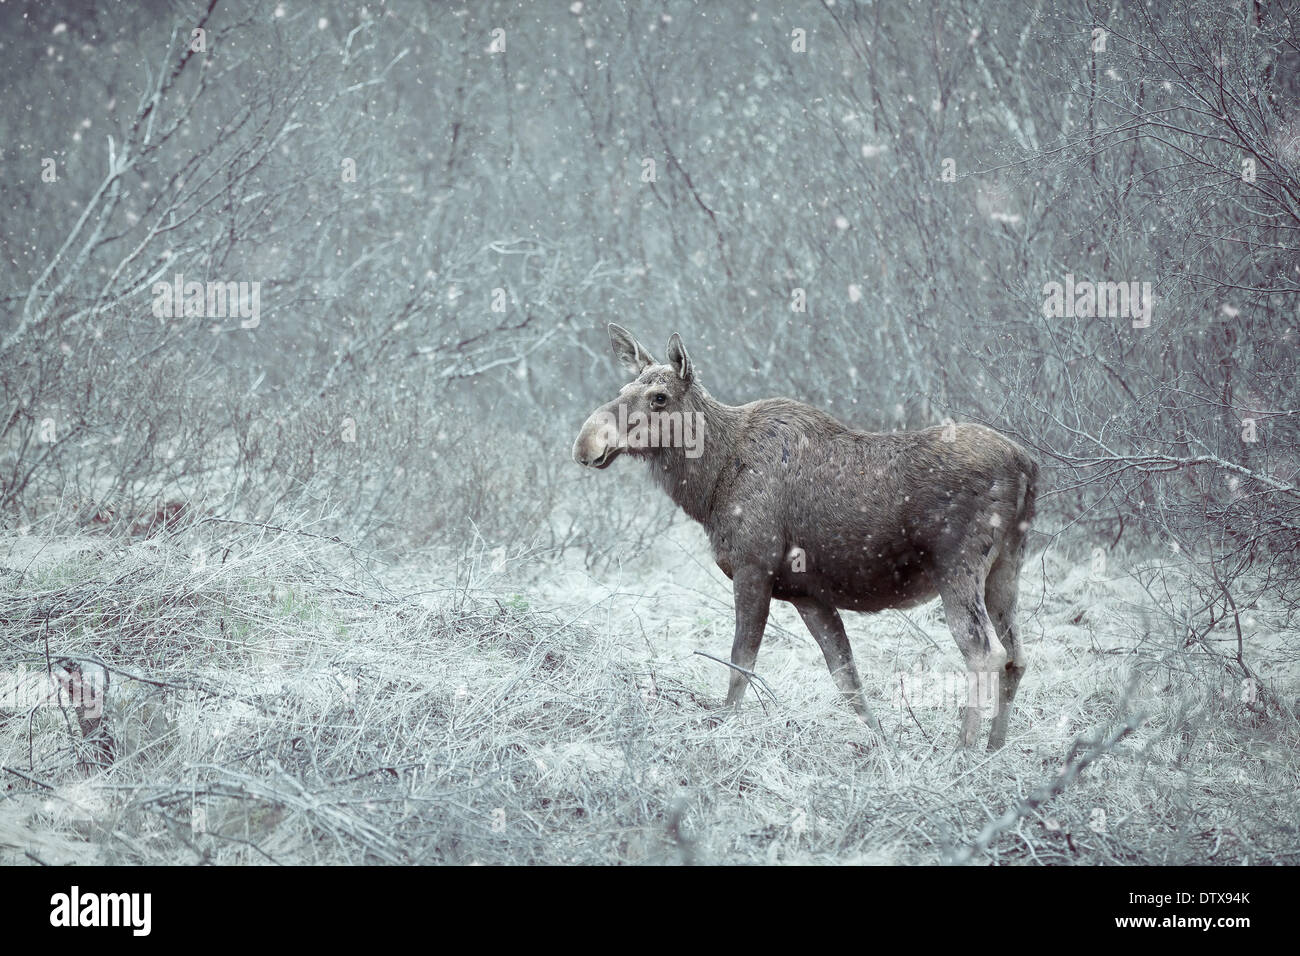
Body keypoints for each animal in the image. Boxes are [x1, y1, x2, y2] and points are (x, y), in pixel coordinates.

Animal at [573, 325, 1039, 749]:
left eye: (659, 398)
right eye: (623, 387)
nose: (586, 442)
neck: (707, 486)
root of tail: (1027, 466)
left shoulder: (753, 568)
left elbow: (741, 663)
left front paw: (722, 729)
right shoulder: (807, 594)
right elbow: (847, 678)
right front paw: (882, 746)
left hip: (957, 565)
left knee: (985, 653)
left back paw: (963, 752)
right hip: (1006, 565)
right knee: (1017, 655)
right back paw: (995, 748)